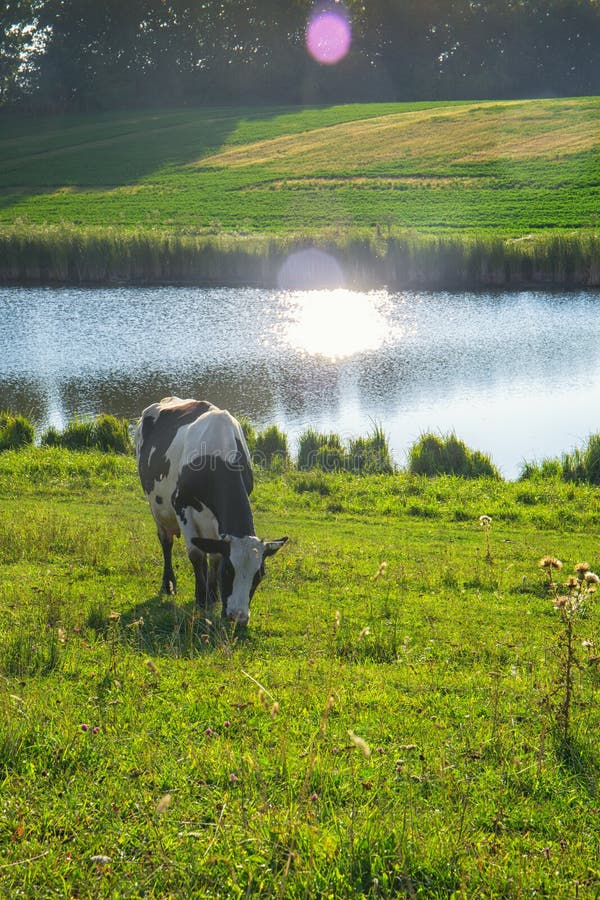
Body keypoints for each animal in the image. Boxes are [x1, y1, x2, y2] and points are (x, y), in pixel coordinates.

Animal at [135, 397, 287, 625]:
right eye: (228, 571)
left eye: (259, 574)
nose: (238, 617)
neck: (217, 457)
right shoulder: (181, 507)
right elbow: (196, 555)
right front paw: (200, 598)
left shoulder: (218, 521)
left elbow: (214, 555)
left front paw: (213, 596)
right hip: (156, 507)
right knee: (166, 541)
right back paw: (168, 584)